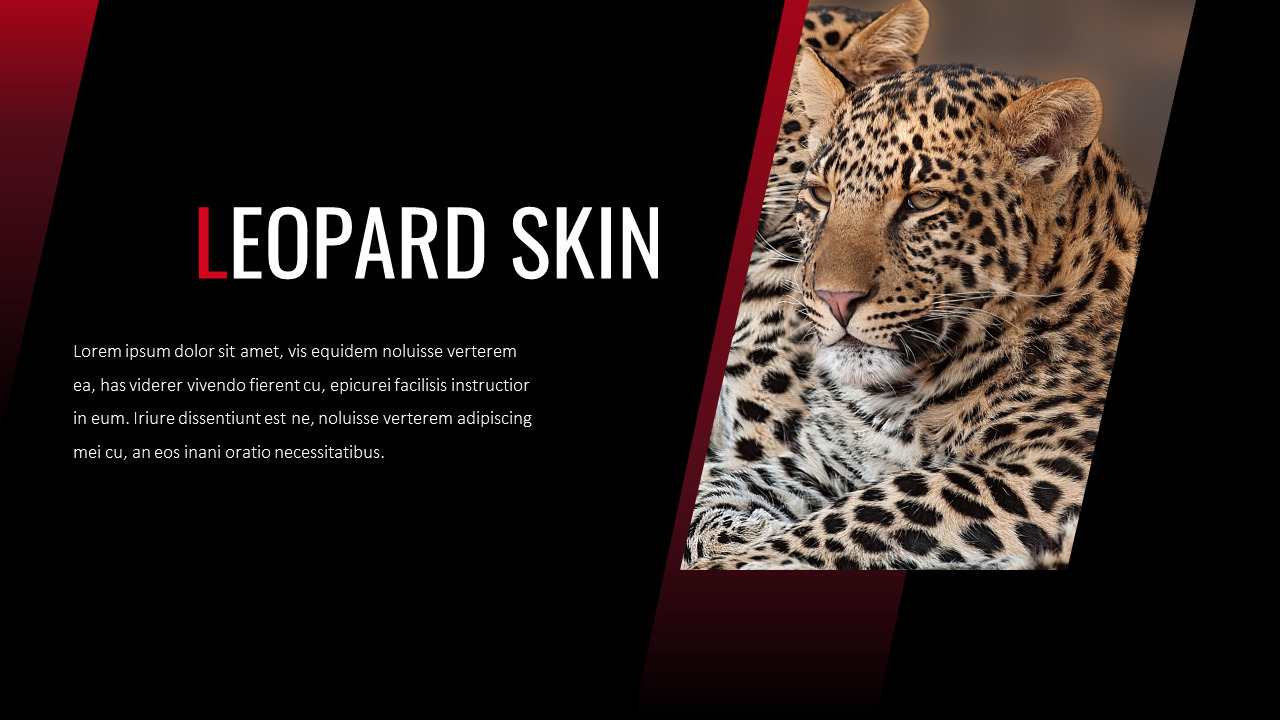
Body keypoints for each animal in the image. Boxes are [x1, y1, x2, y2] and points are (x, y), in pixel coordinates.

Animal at [686, 53, 1146, 569]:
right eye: (823, 194)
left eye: (922, 201)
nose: (834, 298)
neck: (898, 395)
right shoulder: (824, 458)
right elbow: (721, 485)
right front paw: (736, 531)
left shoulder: (1053, 464)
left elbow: (871, 508)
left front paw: (740, 560)